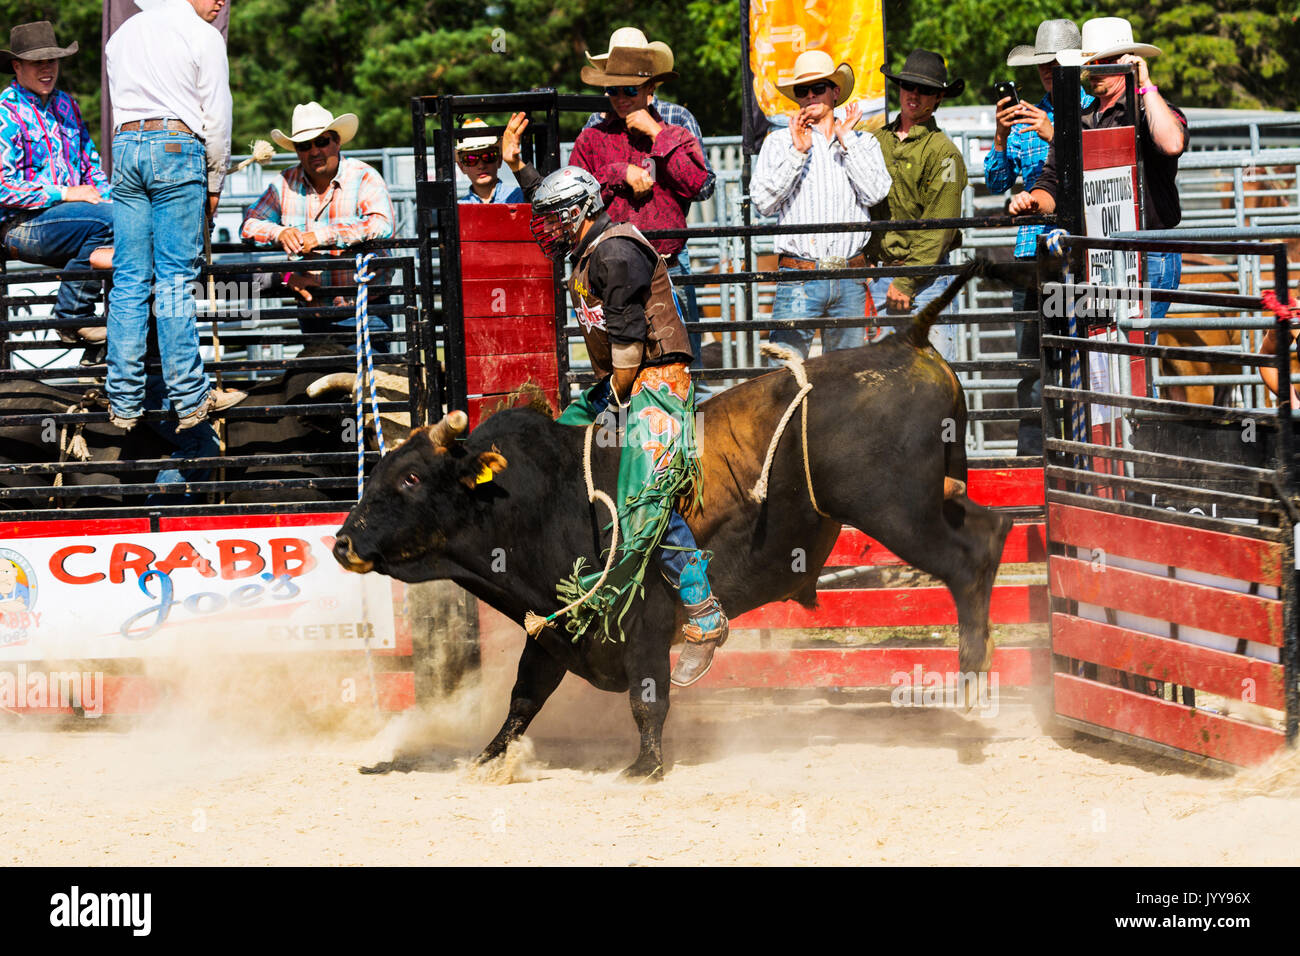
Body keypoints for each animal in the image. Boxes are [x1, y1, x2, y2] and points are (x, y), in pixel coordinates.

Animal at [333, 257, 1016, 780]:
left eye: (411, 478)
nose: (342, 542)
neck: (544, 495)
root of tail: (907, 339)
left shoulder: (642, 626)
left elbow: (647, 699)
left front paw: (645, 767)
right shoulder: (555, 628)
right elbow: (522, 699)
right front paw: (486, 760)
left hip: (894, 508)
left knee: (967, 562)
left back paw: (972, 677)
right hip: (935, 495)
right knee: (992, 529)